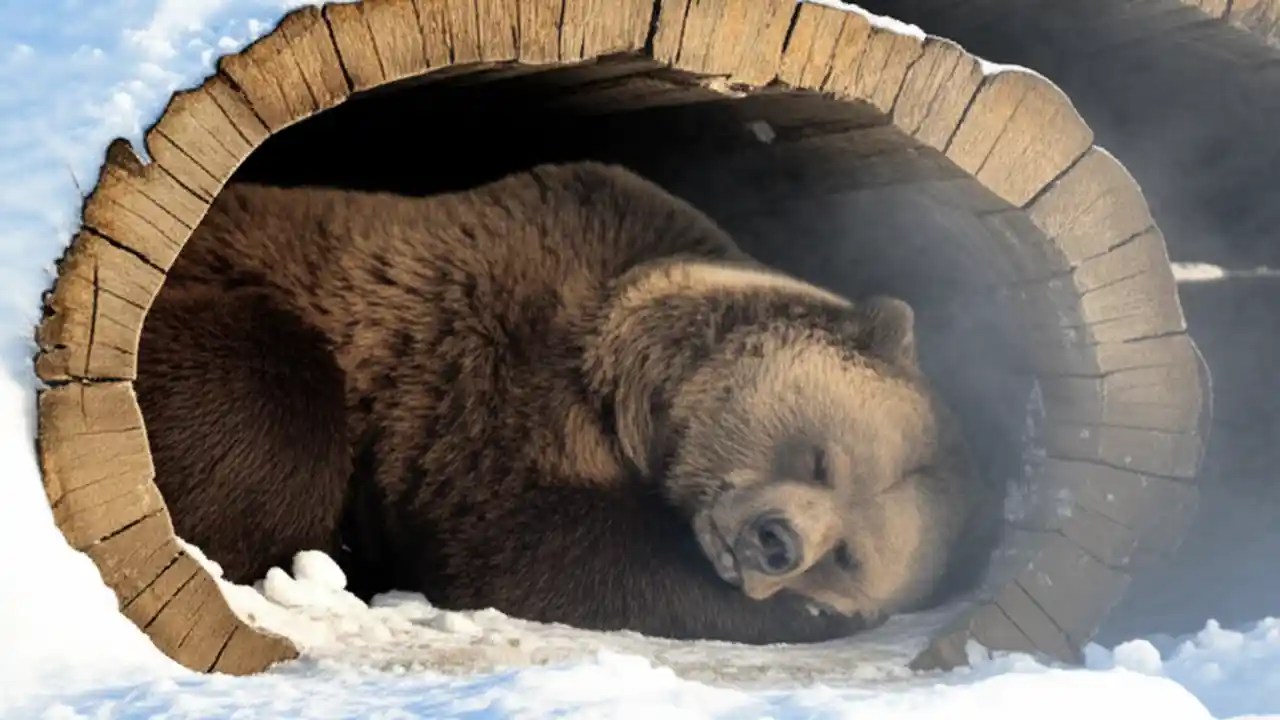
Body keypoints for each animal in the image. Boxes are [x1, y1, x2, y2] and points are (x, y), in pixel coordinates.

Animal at [134, 161, 998, 645]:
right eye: (821, 458)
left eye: (849, 555)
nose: (775, 543)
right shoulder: (494, 371)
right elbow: (531, 545)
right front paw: (795, 618)